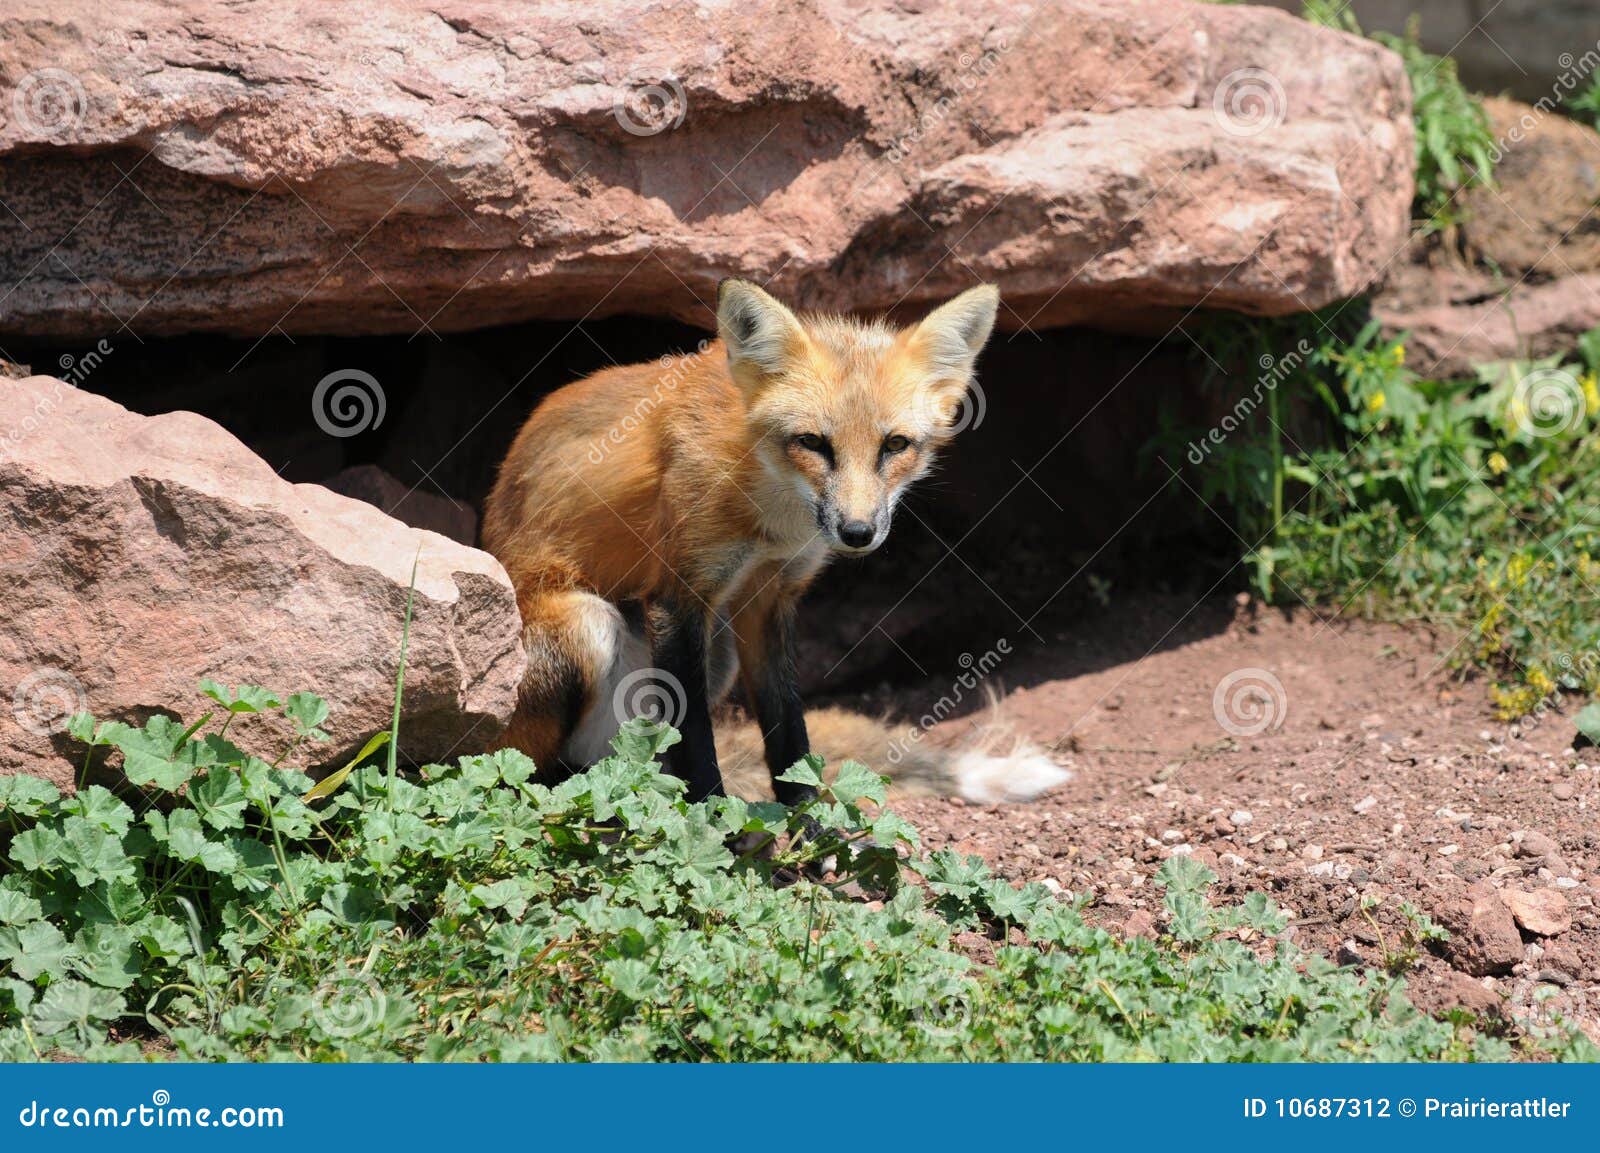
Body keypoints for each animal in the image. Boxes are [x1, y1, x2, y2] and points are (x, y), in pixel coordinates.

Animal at [480, 279, 1068, 805]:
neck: (773, 518)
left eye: (895, 445)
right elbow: (697, 744)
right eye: (812, 442)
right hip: (587, 627)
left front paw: (813, 830)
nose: (858, 532)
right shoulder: (678, 596)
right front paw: (712, 827)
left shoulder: (768, 598)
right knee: (530, 773)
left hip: (715, 655)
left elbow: (790, 736)